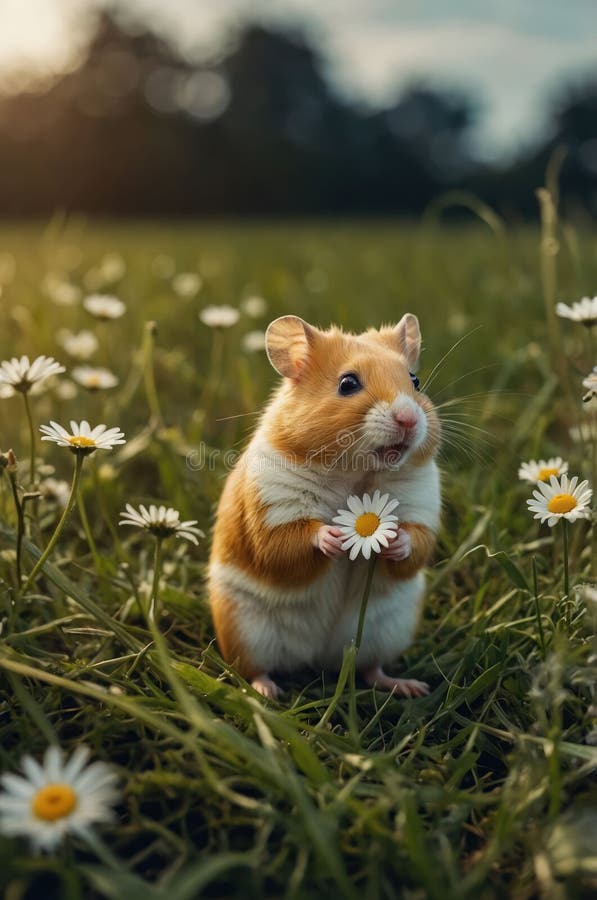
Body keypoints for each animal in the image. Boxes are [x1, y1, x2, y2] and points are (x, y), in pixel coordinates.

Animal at [208, 314, 441, 699]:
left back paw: (411, 687)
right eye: (348, 383)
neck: (356, 475)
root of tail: (317, 657)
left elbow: (417, 543)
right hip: (245, 628)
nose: (409, 419)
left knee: (370, 669)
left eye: (415, 381)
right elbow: (286, 544)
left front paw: (393, 540)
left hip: (387, 630)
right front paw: (334, 538)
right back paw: (267, 694)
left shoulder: (421, 507)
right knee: (255, 669)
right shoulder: (270, 513)